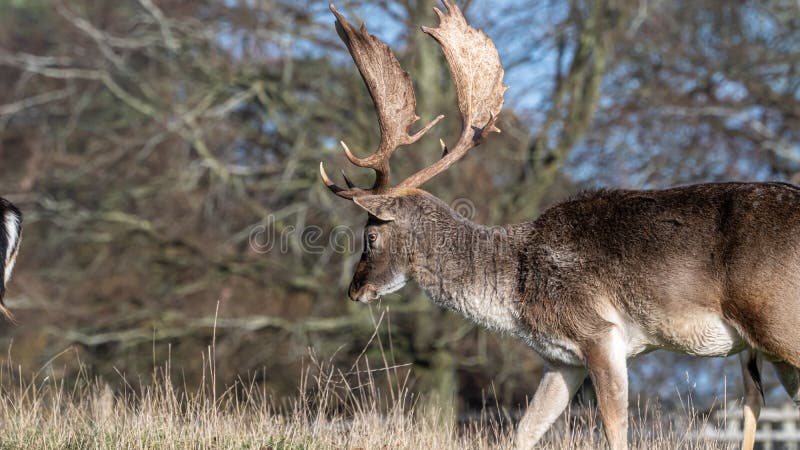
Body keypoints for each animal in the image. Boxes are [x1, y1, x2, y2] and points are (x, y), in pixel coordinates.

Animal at [319, 2, 800, 449]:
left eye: (370, 235)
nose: (354, 289)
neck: (515, 293)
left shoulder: (601, 333)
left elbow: (615, 431)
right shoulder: (561, 359)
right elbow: (524, 431)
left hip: (778, 323)